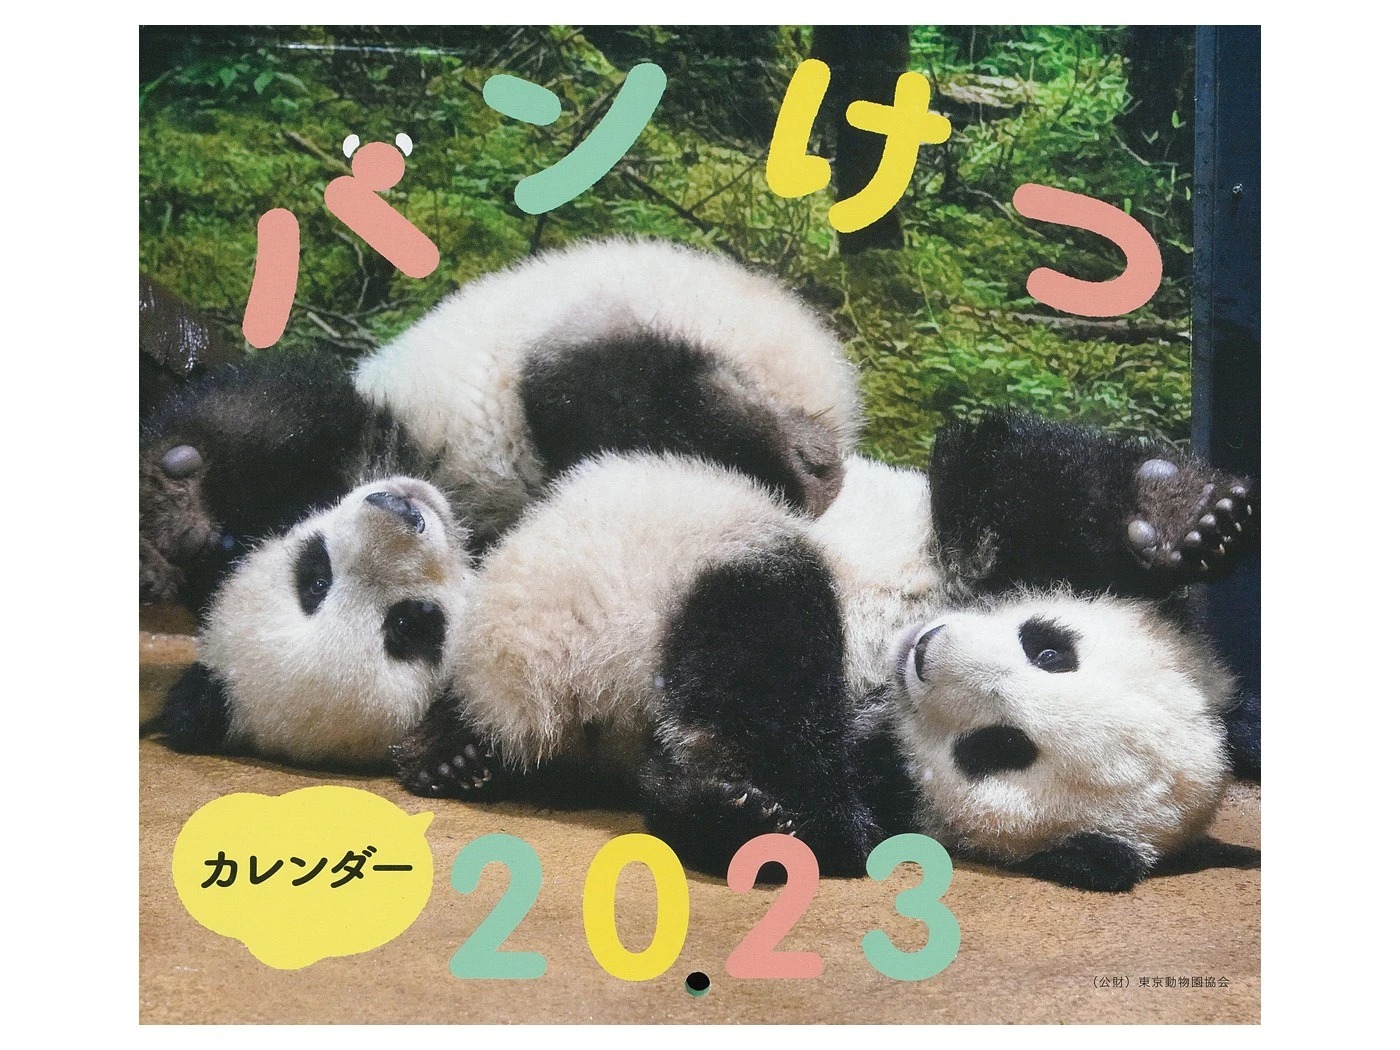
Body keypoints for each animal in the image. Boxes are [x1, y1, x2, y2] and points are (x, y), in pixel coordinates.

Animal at [161, 411, 1255, 892]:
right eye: (403, 631)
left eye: (307, 570)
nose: (394, 508)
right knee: (770, 636)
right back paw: (757, 812)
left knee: (998, 483)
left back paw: (1180, 518)